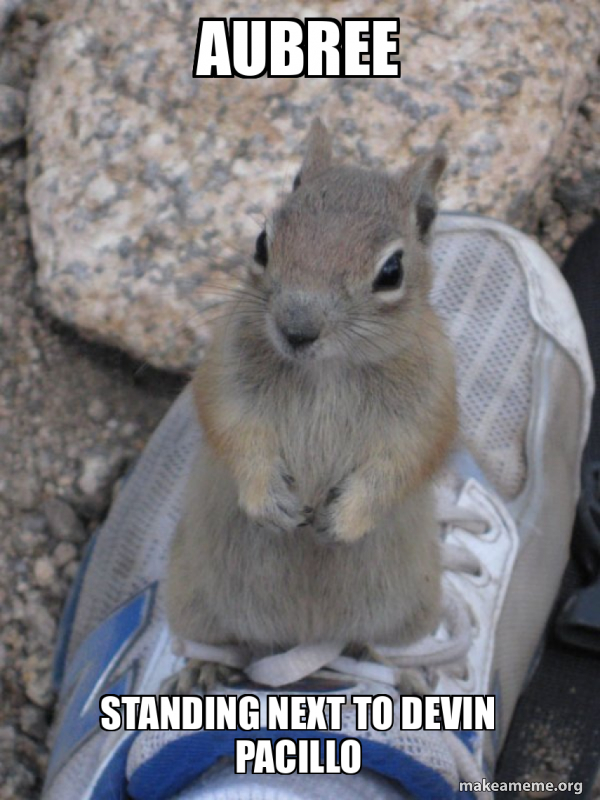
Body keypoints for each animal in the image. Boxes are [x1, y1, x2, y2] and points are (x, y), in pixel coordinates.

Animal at [166, 119, 458, 683]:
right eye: (263, 242)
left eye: (392, 271)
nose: (296, 329)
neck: (325, 370)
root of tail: (307, 634)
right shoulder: (227, 377)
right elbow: (235, 432)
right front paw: (268, 499)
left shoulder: (428, 407)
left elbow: (402, 463)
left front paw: (345, 518)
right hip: (190, 596)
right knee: (226, 643)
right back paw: (205, 671)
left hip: (414, 610)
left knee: (367, 643)